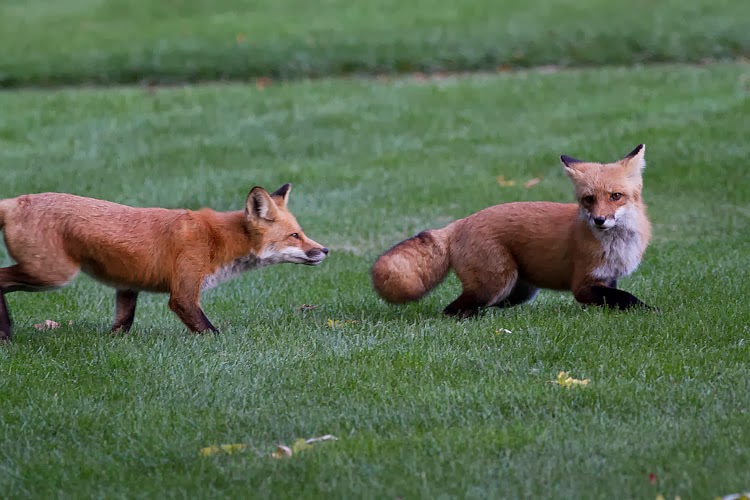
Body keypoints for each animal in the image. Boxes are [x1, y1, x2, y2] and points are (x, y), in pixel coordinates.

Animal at [0, 184, 328, 341]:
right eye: (295, 235)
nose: (325, 250)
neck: (218, 239)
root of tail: (14, 201)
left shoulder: (127, 285)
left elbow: (122, 325)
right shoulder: (183, 293)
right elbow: (211, 331)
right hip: (54, 274)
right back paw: (6, 333)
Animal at [371, 144, 655, 317]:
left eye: (615, 196)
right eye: (589, 199)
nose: (599, 220)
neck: (617, 243)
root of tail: (459, 222)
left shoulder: (606, 278)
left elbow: (615, 297)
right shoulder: (583, 284)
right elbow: (627, 298)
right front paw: (651, 311)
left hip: (518, 291)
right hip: (494, 284)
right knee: (452, 310)